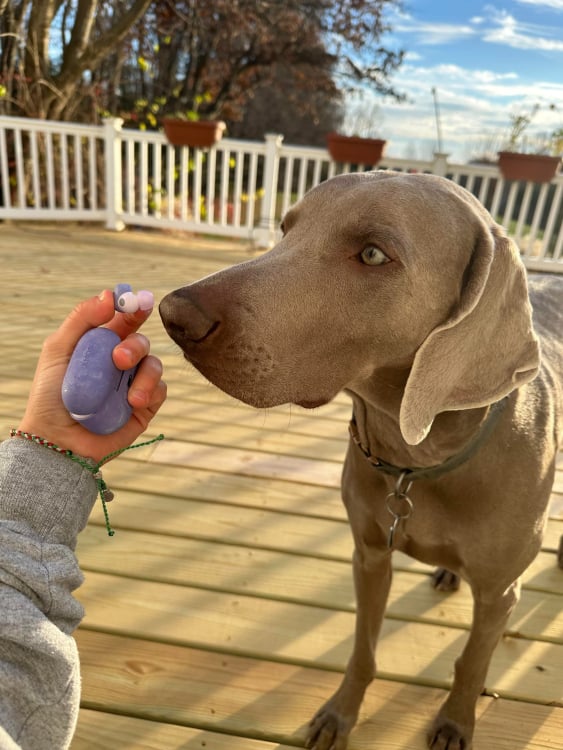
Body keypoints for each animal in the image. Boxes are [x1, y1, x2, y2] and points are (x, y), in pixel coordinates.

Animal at [160, 172, 563, 750]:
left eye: (373, 253)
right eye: (286, 228)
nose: (173, 314)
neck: (417, 460)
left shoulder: (499, 593)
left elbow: (471, 663)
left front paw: (454, 723)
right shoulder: (369, 557)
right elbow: (362, 650)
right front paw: (339, 714)